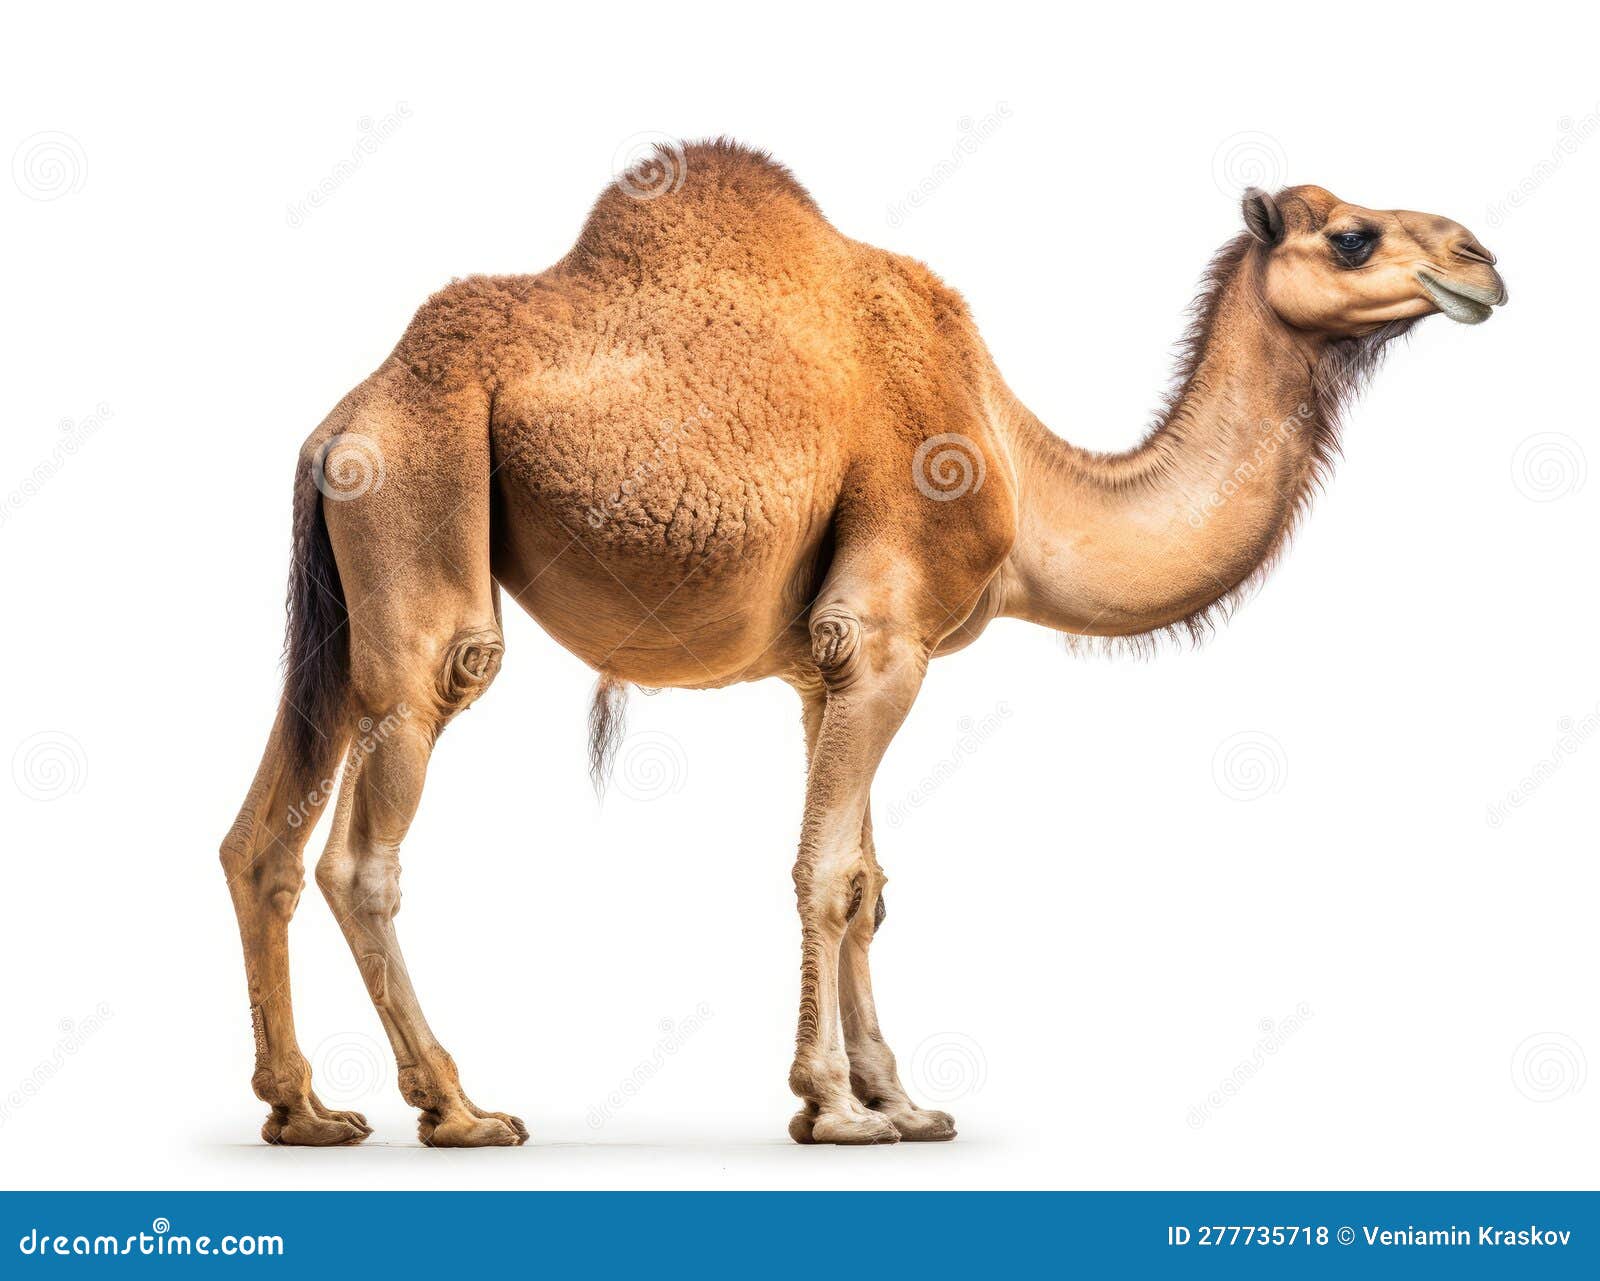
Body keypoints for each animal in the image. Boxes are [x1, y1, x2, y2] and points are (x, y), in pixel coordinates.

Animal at [220, 139, 1505, 1147]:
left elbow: (870, 883)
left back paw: (305, 1110)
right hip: (422, 518)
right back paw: (458, 1107)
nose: (1481, 259)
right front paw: (832, 1104)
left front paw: (899, 1099)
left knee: (260, 841)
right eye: (1352, 235)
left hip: (343, 604)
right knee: (365, 842)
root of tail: (344, 418)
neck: (1019, 461)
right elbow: (827, 875)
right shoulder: (882, 637)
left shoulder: (831, 663)